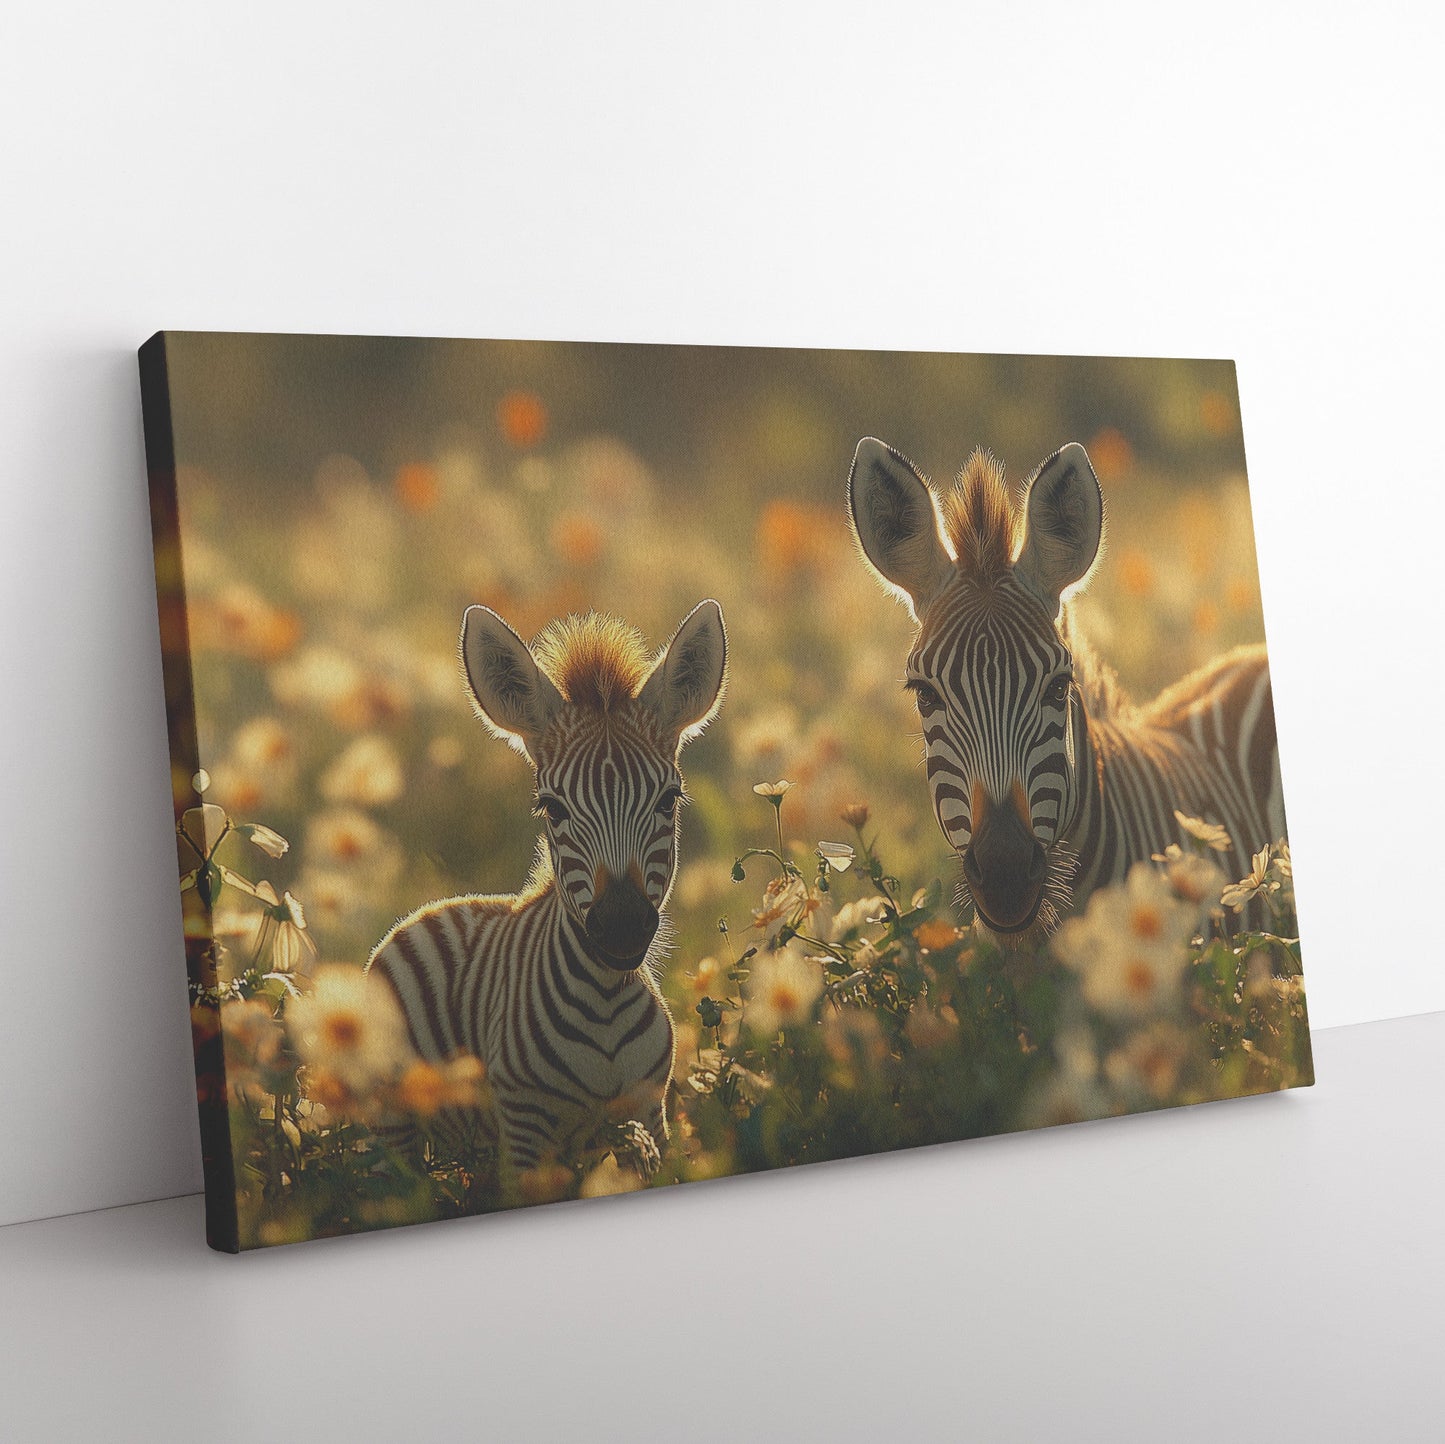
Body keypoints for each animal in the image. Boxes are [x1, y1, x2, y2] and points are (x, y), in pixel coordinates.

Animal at [367, 599, 727, 1189]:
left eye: (668, 800)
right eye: (552, 809)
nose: (622, 926)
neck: (605, 1002)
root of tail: (431, 910)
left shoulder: (646, 1115)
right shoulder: (524, 1130)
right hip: (392, 1126)